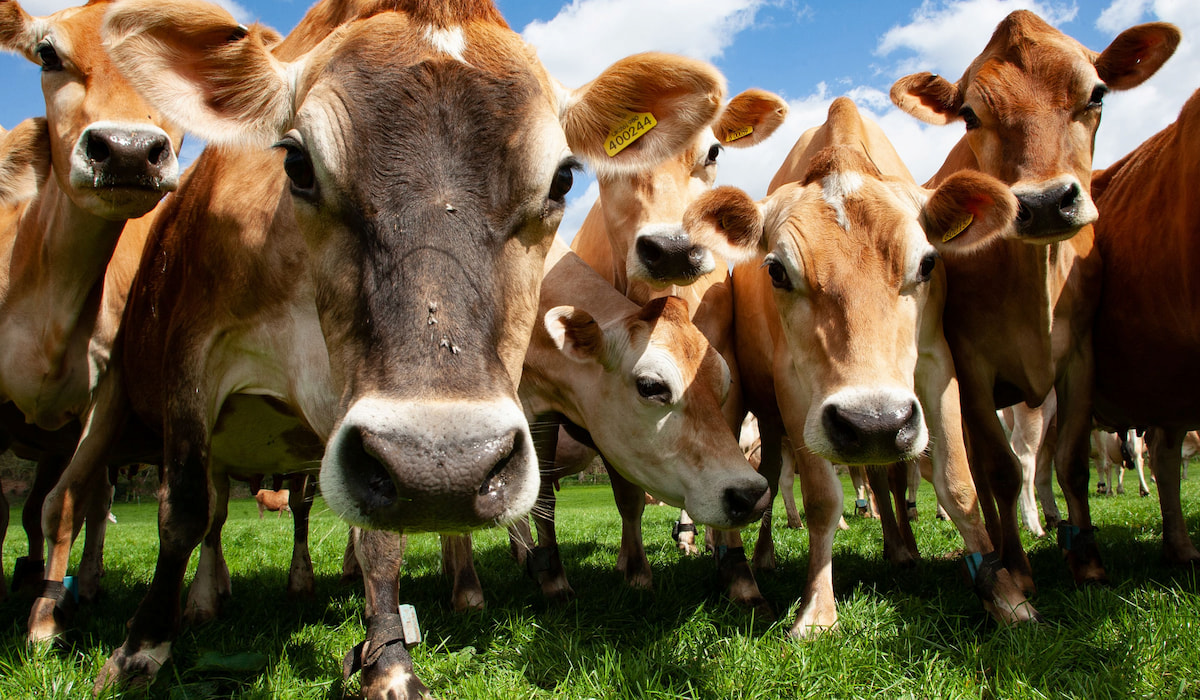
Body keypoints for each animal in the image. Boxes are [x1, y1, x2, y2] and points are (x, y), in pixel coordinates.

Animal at [30, 0, 729, 695]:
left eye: (562, 180)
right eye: (296, 163)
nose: (445, 468)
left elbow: (382, 540)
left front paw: (390, 665)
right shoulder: (191, 355)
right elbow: (181, 510)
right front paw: (140, 649)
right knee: (119, 504)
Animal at [569, 86, 787, 611]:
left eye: (713, 151)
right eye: (607, 162)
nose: (671, 248)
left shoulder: (727, 386)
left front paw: (739, 576)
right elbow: (628, 496)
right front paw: (637, 573)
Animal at [681, 97, 1035, 635]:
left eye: (927, 263)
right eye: (777, 270)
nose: (874, 422)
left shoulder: (938, 362)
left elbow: (958, 483)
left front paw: (1005, 593)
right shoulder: (793, 386)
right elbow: (822, 499)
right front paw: (816, 609)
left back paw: (901, 549)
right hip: (757, 409)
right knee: (766, 478)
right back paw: (752, 567)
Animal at [890, 10, 1179, 589]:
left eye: (1097, 94)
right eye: (971, 116)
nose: (1045, 202)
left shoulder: (1081, 358)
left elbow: (1071, 462)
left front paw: (1087, 559)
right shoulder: (970, 367)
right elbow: (1000, 471)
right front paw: (1018, 570)